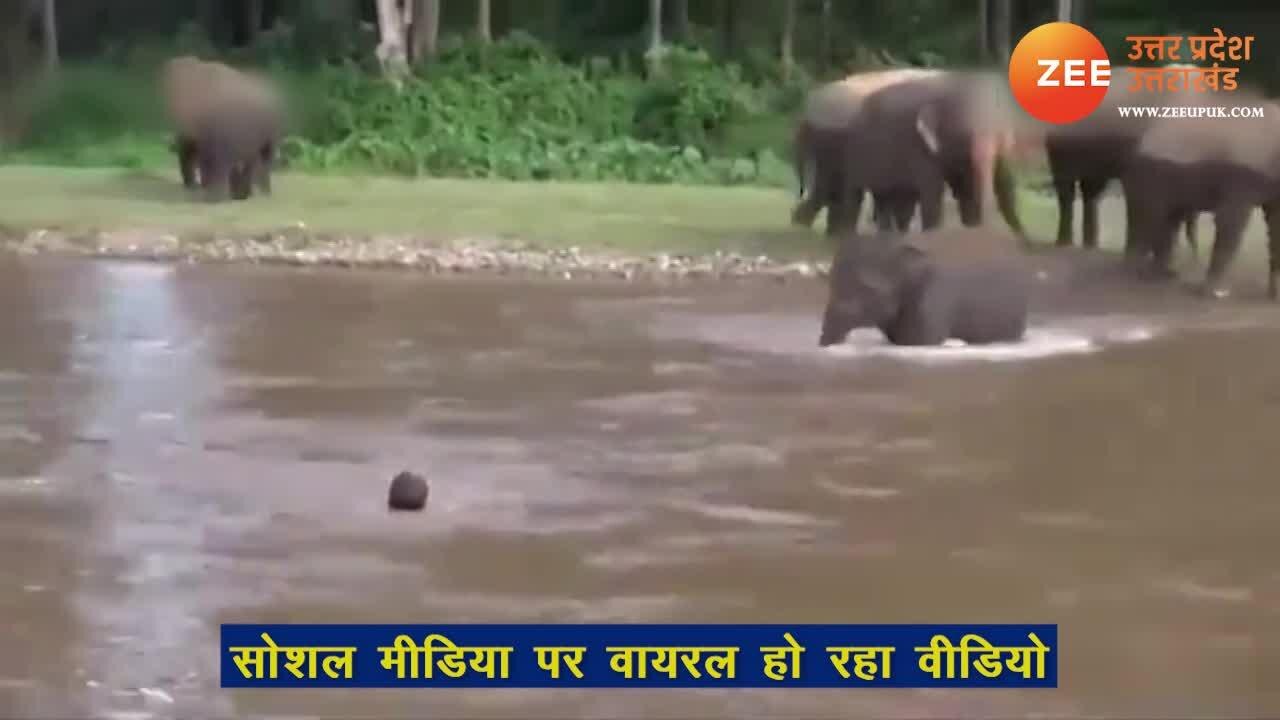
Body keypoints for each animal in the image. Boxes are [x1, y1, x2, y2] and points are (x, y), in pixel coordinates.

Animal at [838, 70, 1035, 242]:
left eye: (1006, 128)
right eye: (965, 129)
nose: (1026, 241)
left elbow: (967, 190)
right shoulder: (918, 147)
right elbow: (934, 195)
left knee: (894, 201)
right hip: (855, 152)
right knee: (856, 196)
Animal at [1120, 92, 1280, 299]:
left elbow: (1275, 224)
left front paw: (1274, 295)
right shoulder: (1242, 176)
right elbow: (1230, 221)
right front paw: (1217, 293)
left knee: (1168, 220)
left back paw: (1163, 274)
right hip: (1151, 172)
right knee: (1150, 218)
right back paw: (1135, 274)